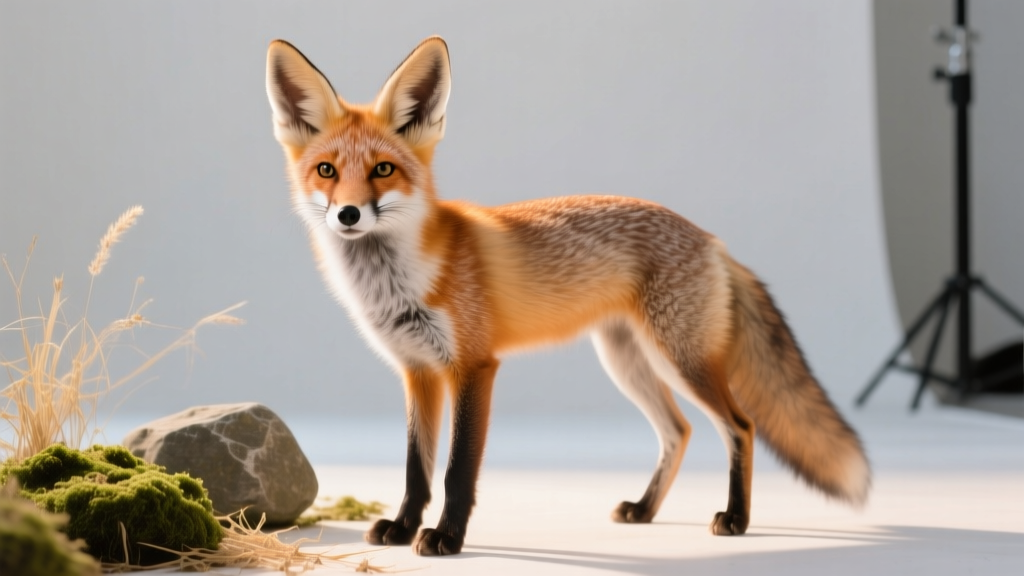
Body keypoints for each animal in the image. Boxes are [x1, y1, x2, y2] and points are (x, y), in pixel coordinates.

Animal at [265, 36, 870, 556]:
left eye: (384, 169)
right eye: (326, 170)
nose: (348, 214)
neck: (398, 283)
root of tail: (710, 238)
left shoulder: (474, 366)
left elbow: (457, 469)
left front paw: (447, 538)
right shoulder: (417, 372)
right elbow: (417, 468)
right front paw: (403, 526)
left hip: (683, 360)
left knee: (738, 427)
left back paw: (737, 519)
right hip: (628, 362)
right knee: (679, 431)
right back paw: (645, 510)